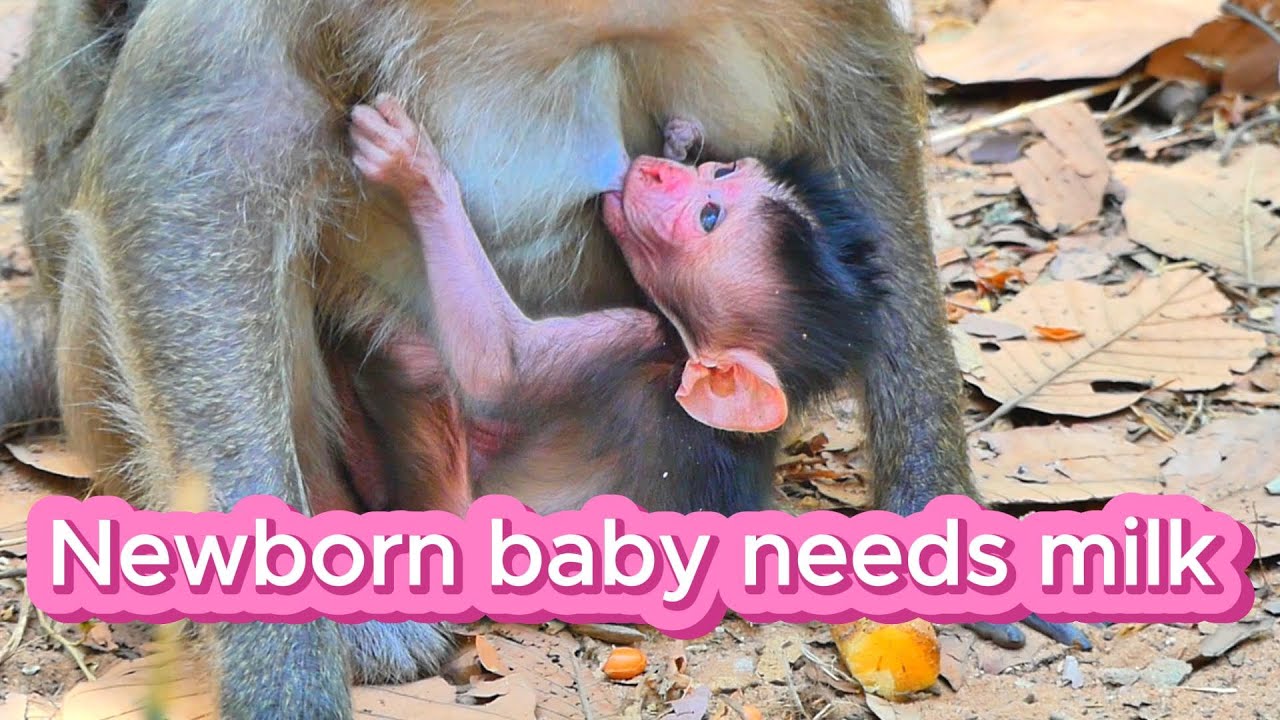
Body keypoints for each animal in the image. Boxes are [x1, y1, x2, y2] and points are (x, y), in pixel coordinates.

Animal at [2, 1, 1090, 716]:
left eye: (713, 206)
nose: (664, 176)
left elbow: (848, 80)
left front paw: (937, 524)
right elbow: (198, 152)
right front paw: (285, 669)